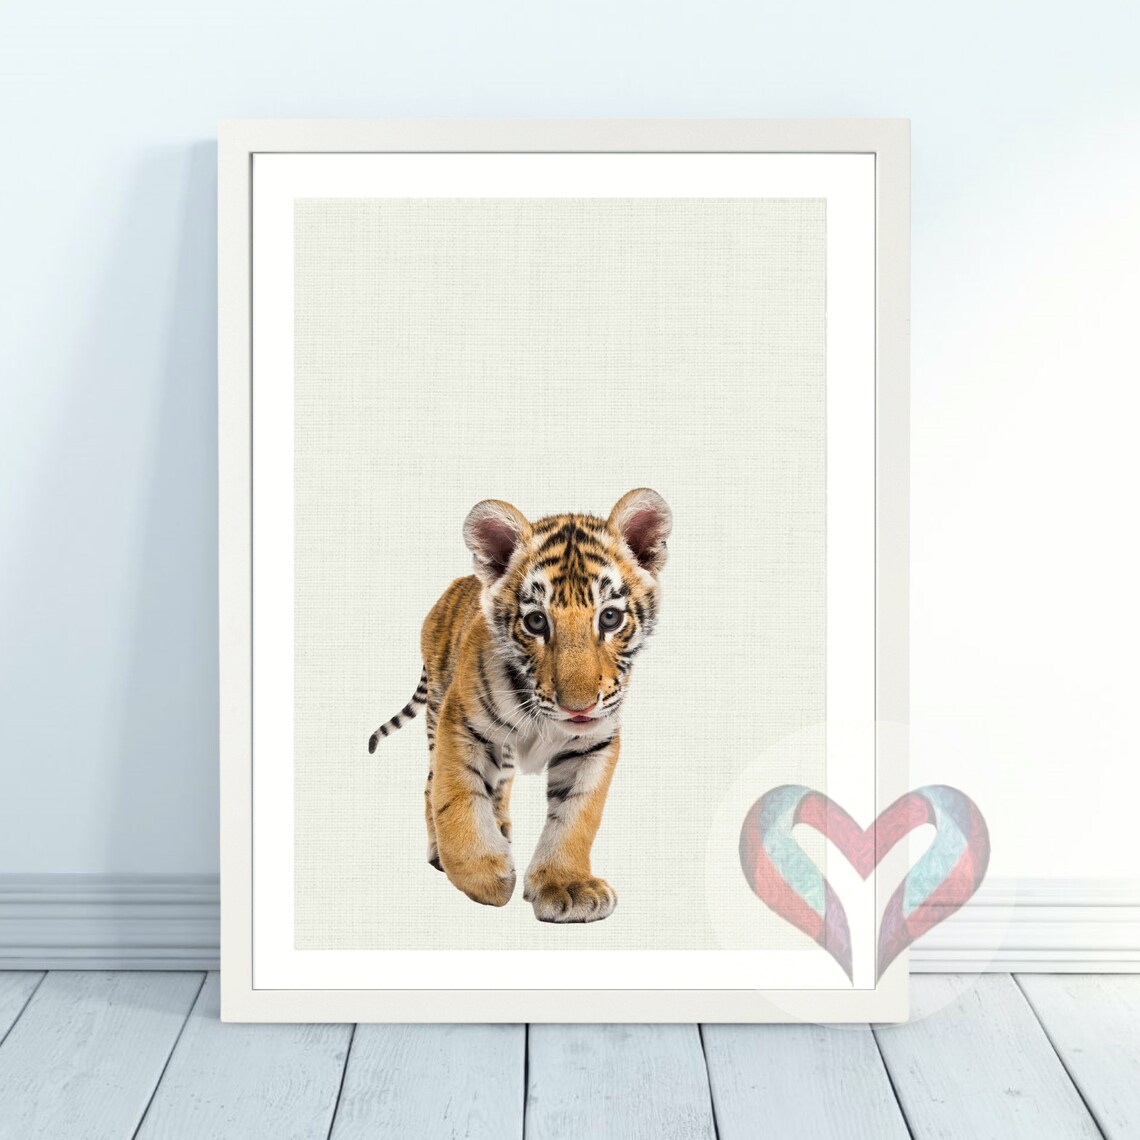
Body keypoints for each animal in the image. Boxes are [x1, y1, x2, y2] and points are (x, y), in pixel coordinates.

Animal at [368, 489, 672, 923]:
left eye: (610, 618)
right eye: (536, 622)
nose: (577, 707)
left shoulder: (594, 742)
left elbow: (576, 815)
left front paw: (567, 884)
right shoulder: (462, 724)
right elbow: (457, 797)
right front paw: (481, 875)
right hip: (436, 710)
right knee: (430, 786)